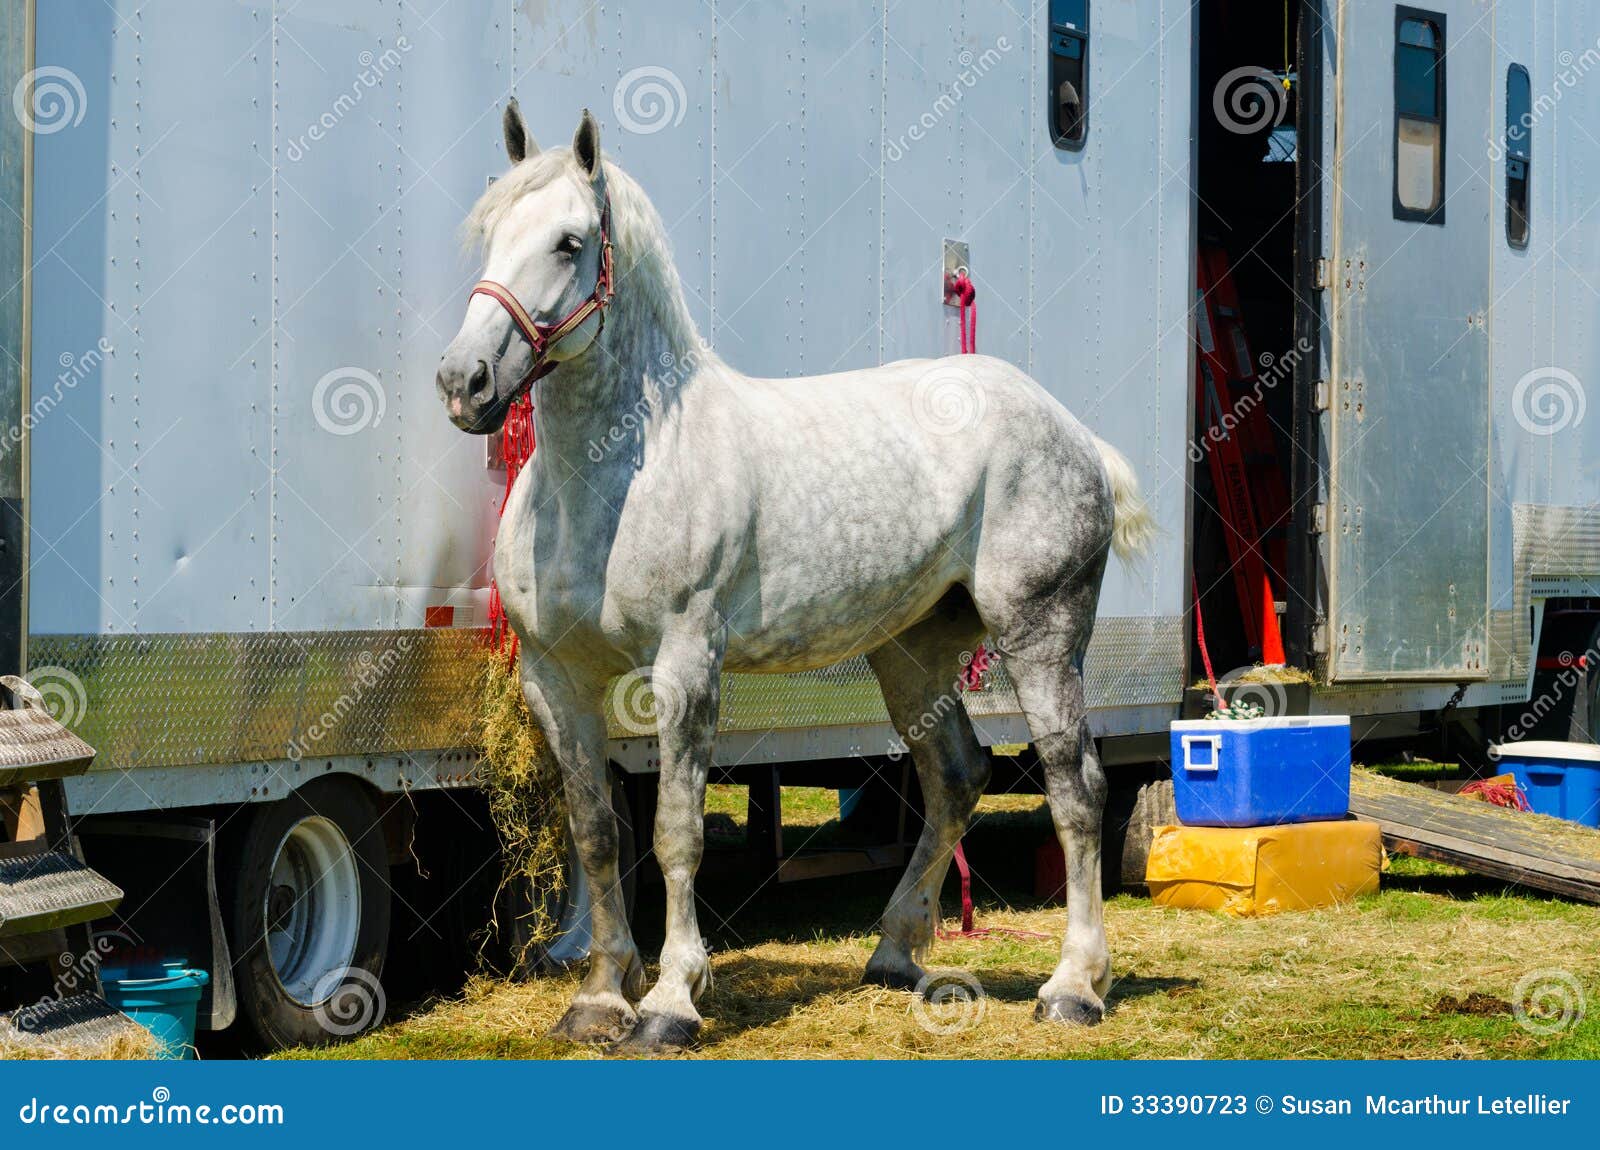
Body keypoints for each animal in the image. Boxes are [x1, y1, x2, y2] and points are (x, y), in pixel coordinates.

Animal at [436, 103, 1156, 1053]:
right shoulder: (556, 679)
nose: (464, 381)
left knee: (1077, 791)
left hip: (1041, 638)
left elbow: (674, 833)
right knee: (957, 775)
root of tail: (1074, 432)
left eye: (568, 241)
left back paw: (1074, 986)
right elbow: (594, 834)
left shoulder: (685, 666)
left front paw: (671, 1003)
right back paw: (894, 954)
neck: (625, 469)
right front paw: (598, 998)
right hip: (913, 652)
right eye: (489, 235)